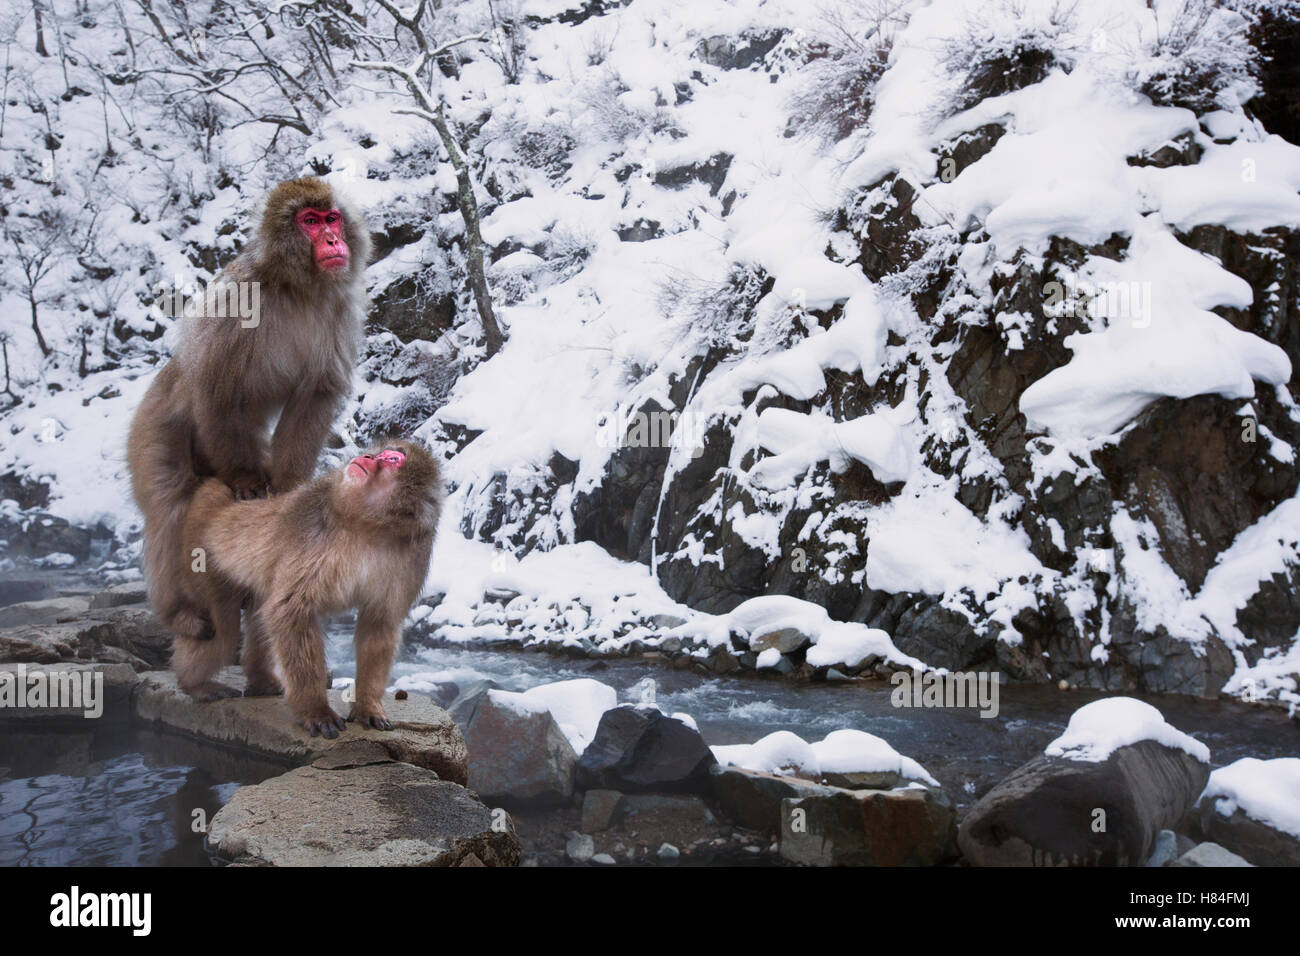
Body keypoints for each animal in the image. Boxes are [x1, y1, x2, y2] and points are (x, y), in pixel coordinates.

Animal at [127, 177, 371, 651]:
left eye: (331, 218)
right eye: (309, 221)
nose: (333, 240)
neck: (297, 289)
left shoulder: (339, 310)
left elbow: (315, 395)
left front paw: (289, 485)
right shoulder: (235, 300)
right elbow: (219, 390)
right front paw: (245, 482)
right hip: (154, 426)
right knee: (169, 500)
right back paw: (179, 614)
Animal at [176, 438, 442, 737]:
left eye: (393, 460)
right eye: (380, 453)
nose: (367, 457)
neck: (369, 526)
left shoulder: (413, 558)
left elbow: (380, 622)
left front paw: (368, 705)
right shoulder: (310, 529)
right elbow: (291, 610)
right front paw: (316, 709)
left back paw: (259, 678)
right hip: (200, 548)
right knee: (222, 623)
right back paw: (195, 684)